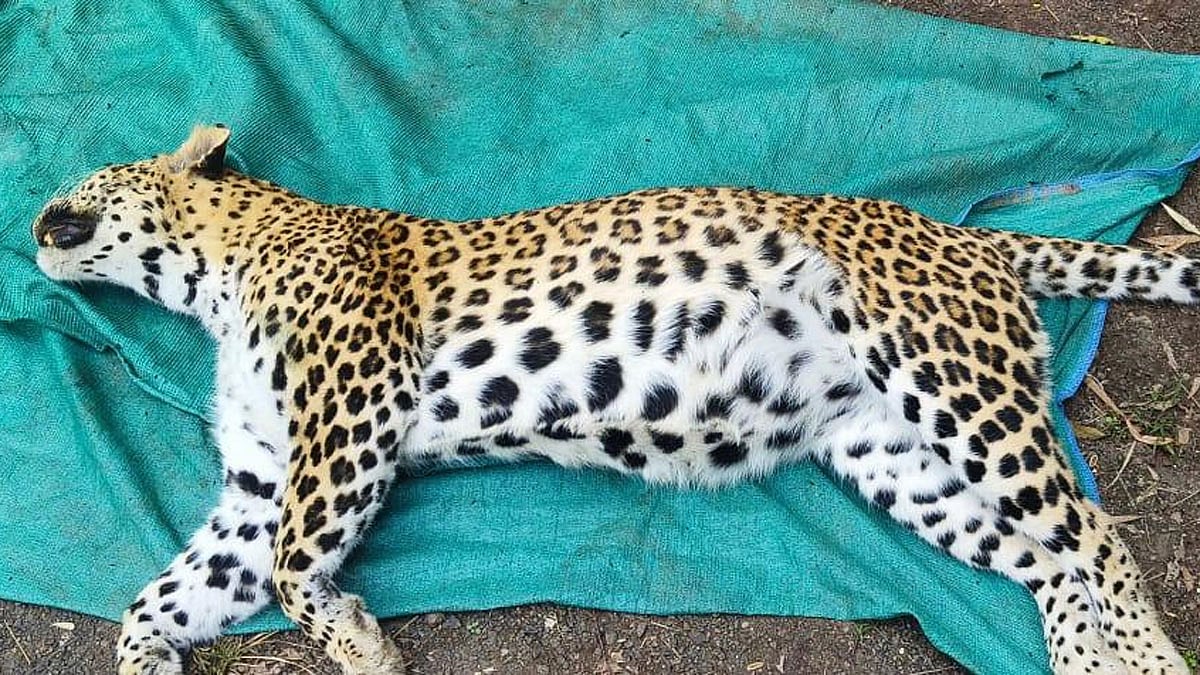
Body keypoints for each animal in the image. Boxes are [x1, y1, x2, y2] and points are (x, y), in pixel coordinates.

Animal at [31, 125, 1199, 675]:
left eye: (88, 179)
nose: (37, 216)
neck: (217, 279)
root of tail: (965, 237)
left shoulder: (348, 414)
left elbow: (291, 567)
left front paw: (362, 644)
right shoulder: (259, 481)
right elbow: (161, 596)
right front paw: (148, 659)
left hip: (955, 382)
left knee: (1096, 532)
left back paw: (1146, 656)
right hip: (896, 456)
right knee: (1049, 558)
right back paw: (1083, 659)